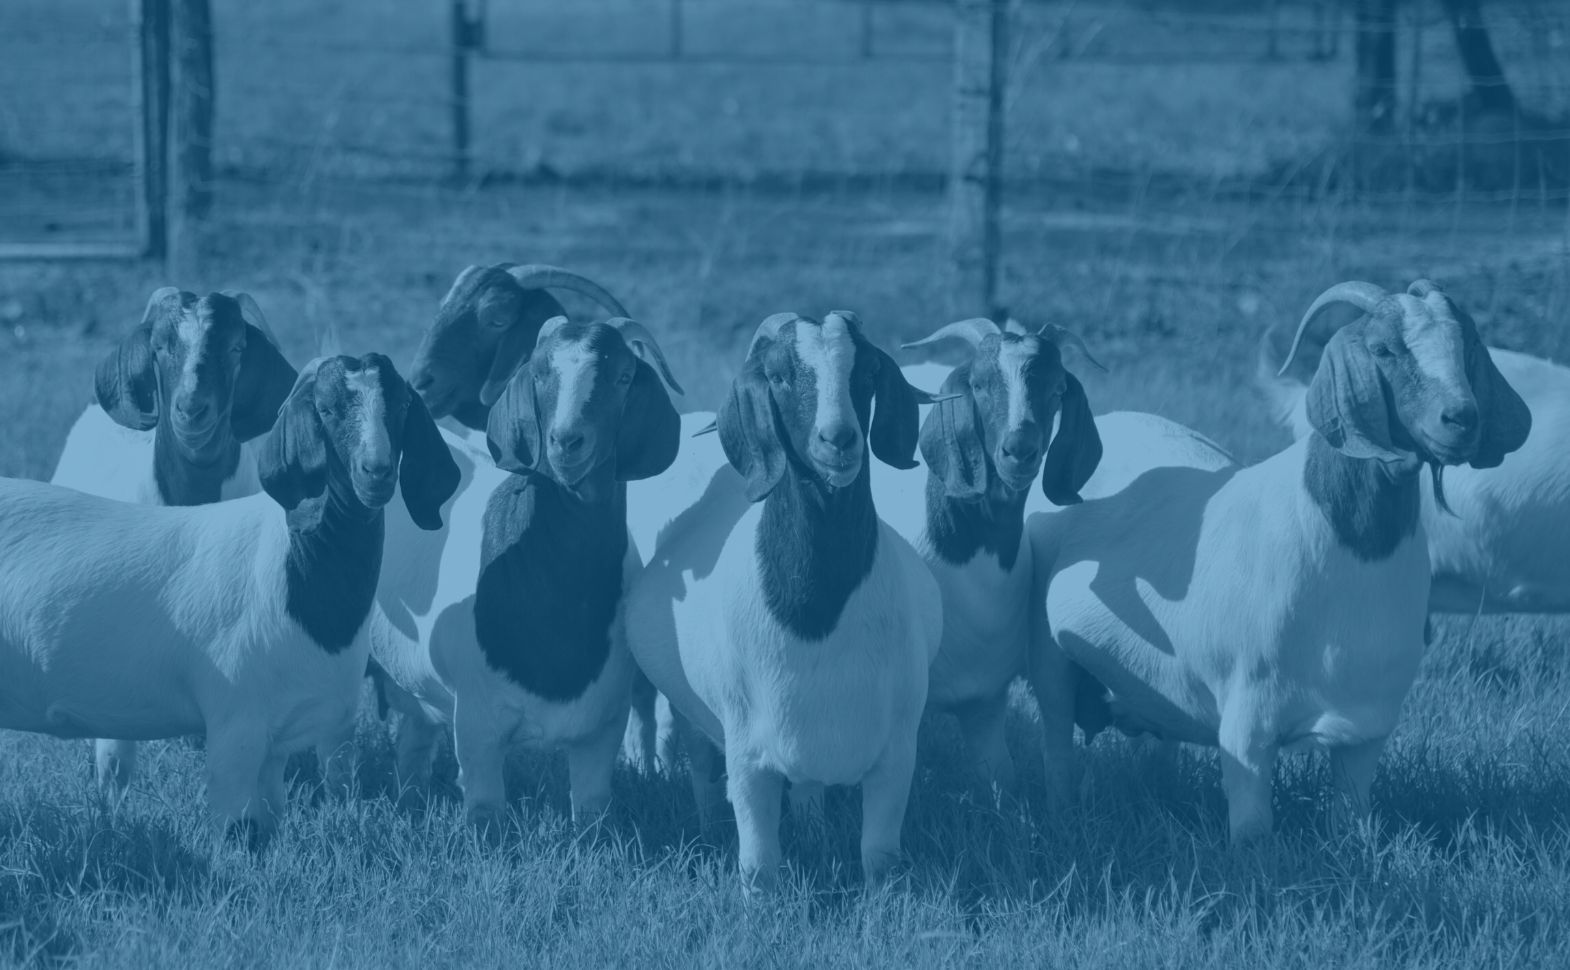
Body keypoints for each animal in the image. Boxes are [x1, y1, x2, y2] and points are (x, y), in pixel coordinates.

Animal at [0, 353, 460, 845]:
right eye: (327, 409)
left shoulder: (277, 740)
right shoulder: (235, 725)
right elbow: (236, 830)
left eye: (402, 406)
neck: (292, 573)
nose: (376, 472)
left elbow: (270, 821)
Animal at [365, 316, 683, 828]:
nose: (567, 441)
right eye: (539, 373)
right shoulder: (477, 725)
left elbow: (592, 811)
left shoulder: (601, 727)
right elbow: (486, 812)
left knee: (413, 740)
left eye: (623, 376)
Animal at [622, 310, 944, 893]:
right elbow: (759, 864)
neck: (818, 617)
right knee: (703, 771)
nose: (838, 439)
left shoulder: (896, 752)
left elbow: (879, 855)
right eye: (777, 376)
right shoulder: (749, 752)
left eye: (867, 373)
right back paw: (709, 830)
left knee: (810, 789)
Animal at [1028, 279, 1532, 842]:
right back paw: (1063, 818)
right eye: (1383, 349)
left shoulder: (1367, 726)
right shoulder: (1247, 722)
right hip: (1050, 659)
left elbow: (1351, 817)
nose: (1461, 419)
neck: (1349, 554)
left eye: (1468, 346)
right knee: (1055, 743)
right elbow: (1252, 833)